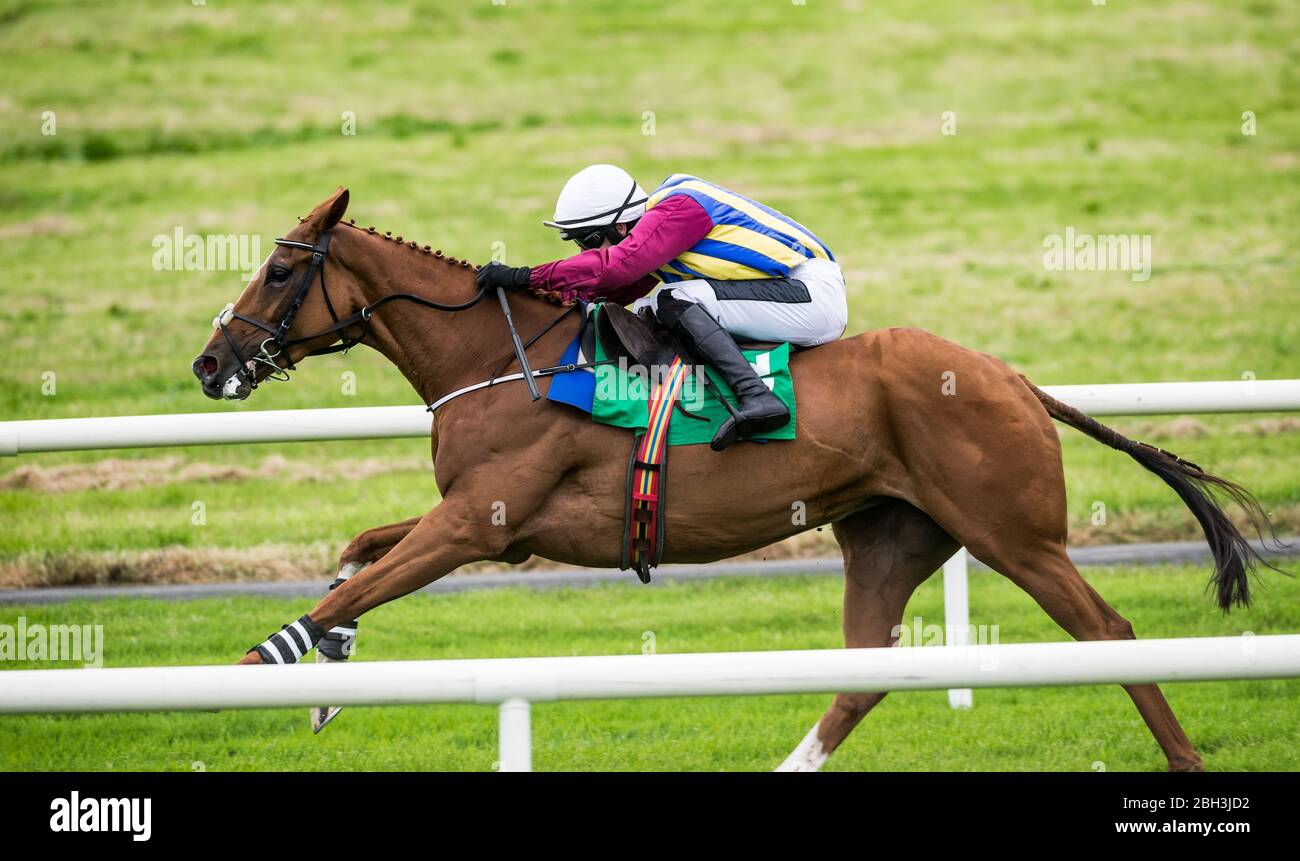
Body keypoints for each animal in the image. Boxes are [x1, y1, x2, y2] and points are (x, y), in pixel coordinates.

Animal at [192, 187, 1280, 771]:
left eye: (279, 273)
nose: (210, 364)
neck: (501, 355)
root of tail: (1010, 376)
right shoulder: (477, 521)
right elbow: (355, 558)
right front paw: (328, 673)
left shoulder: (478, 524)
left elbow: (360, 581)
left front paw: (248, 672)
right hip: (889, 537)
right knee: (865, 675)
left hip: (1015, 533)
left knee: (1109, 631)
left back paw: (1183, 757)